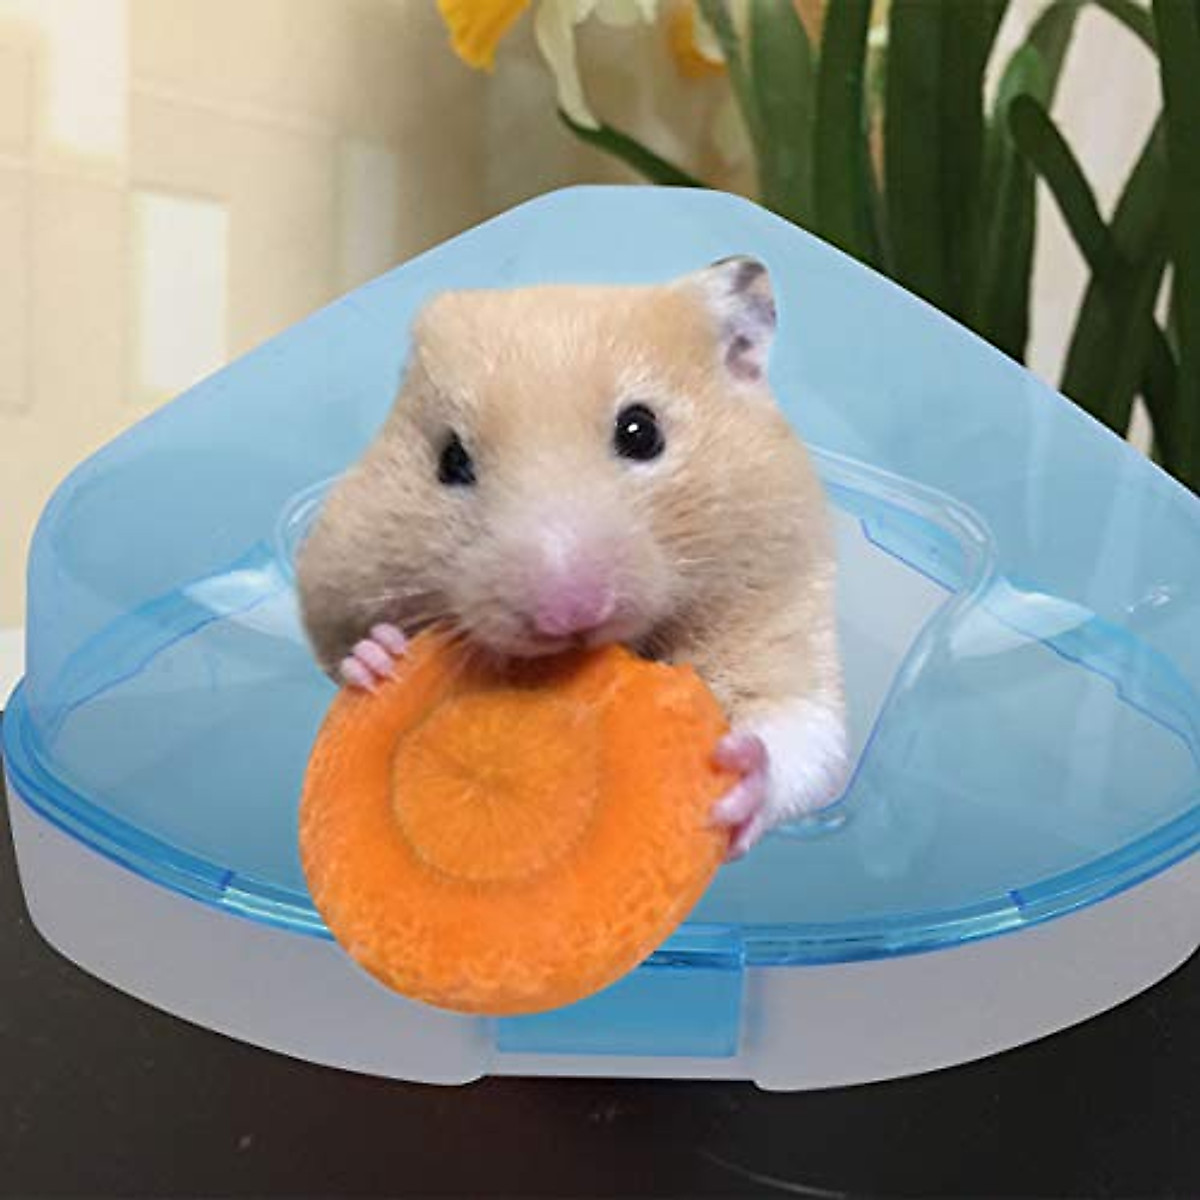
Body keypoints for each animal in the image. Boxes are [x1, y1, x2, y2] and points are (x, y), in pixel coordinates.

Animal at [295, 257, 848, 859]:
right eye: (451, 460)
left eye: (641, 431)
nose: (567, 616)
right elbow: (341, 656)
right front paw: (379, 658)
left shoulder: (783, 625)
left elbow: (799, 733)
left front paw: (733, 780)